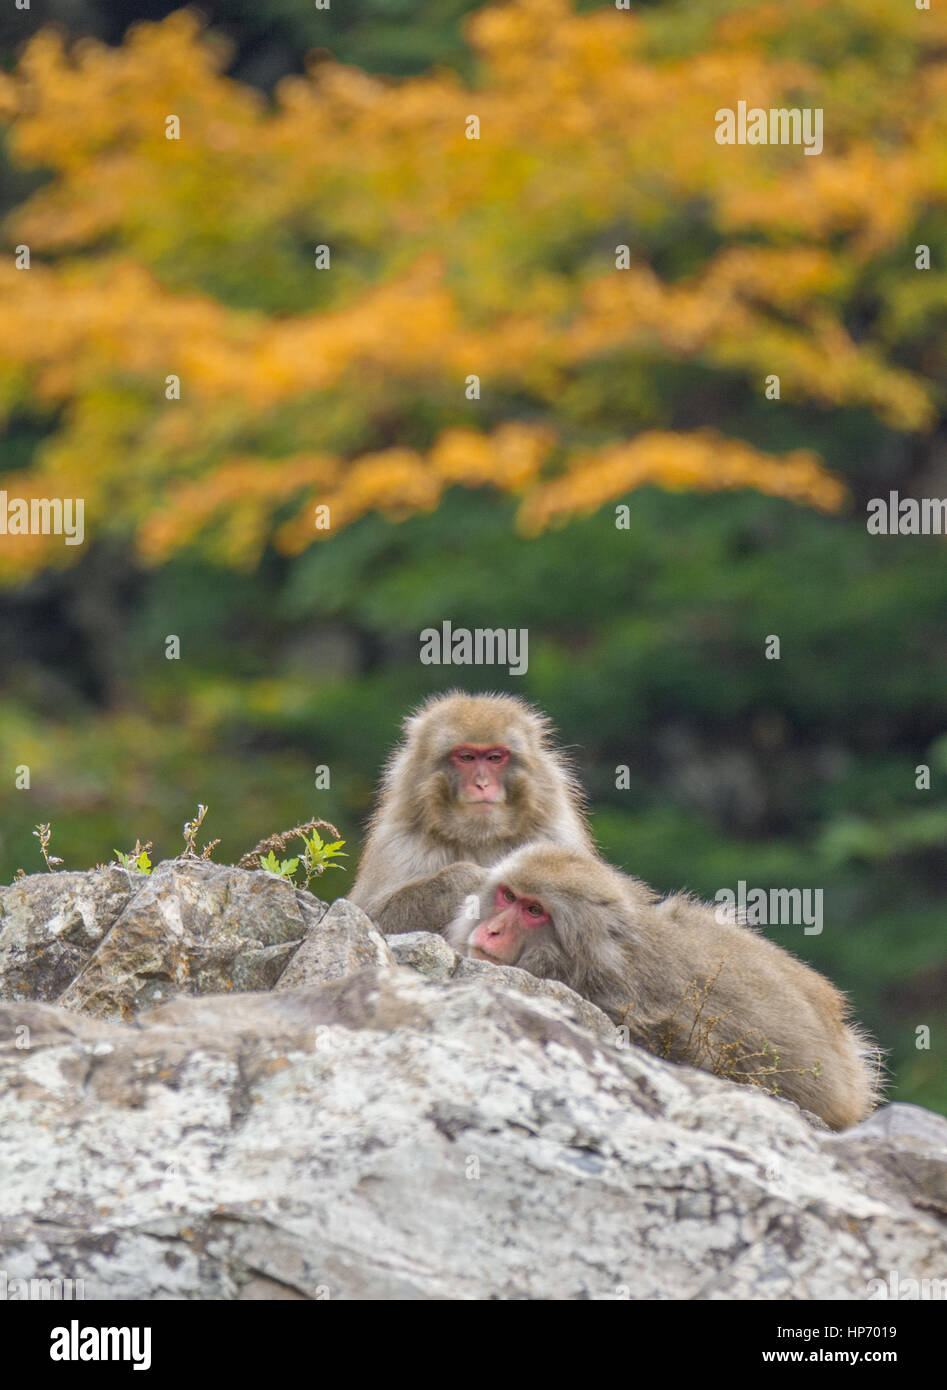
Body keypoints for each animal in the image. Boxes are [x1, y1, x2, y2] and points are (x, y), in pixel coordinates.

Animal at [349, 692, 594, 936]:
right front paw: (472, 880)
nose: (482, 784)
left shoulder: (554, 836)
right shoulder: (398, 840)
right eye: (466, 757)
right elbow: (374, 914)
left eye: (495, 757)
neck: (481, 836)